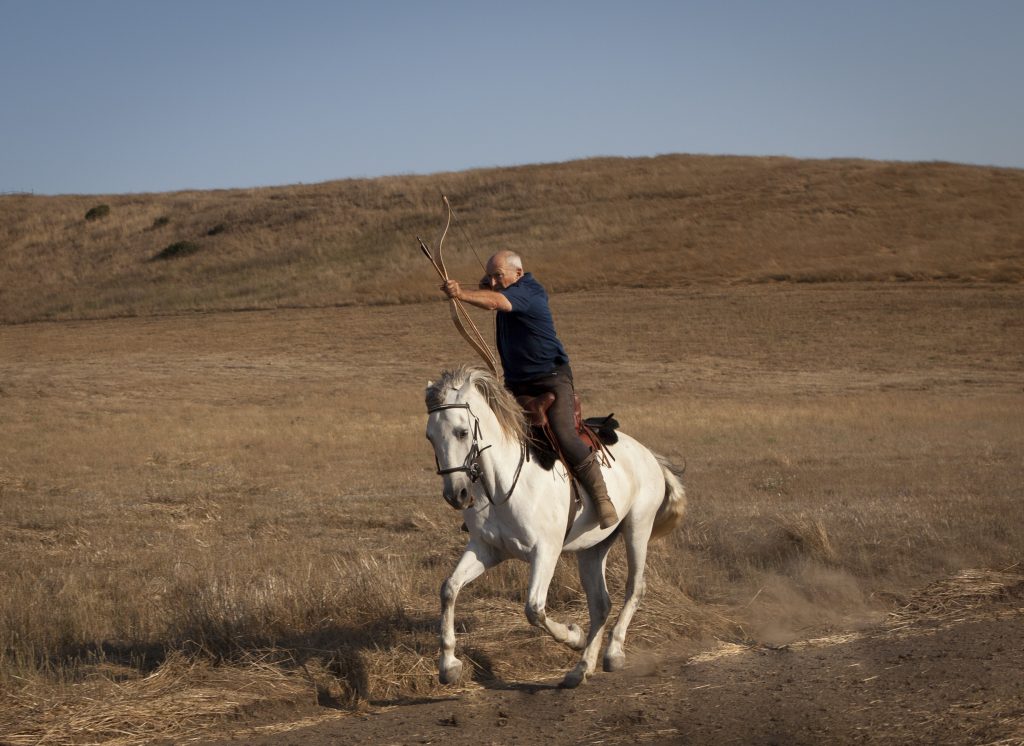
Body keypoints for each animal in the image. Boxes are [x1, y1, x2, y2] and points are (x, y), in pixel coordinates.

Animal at [424, 365, 686, 688]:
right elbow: (449, 589)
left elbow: (534, 610)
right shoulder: (486, 549)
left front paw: (573, 636)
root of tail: (649, 455)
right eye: (430, 437)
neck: (503, 484)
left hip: (638, 527)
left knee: (635, 588)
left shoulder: (545, 551)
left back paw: (613, 652)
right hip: (592, 548)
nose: (457, 495)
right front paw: (448, 665)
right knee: (601, 604)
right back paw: (581, 668)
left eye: (462, 432)